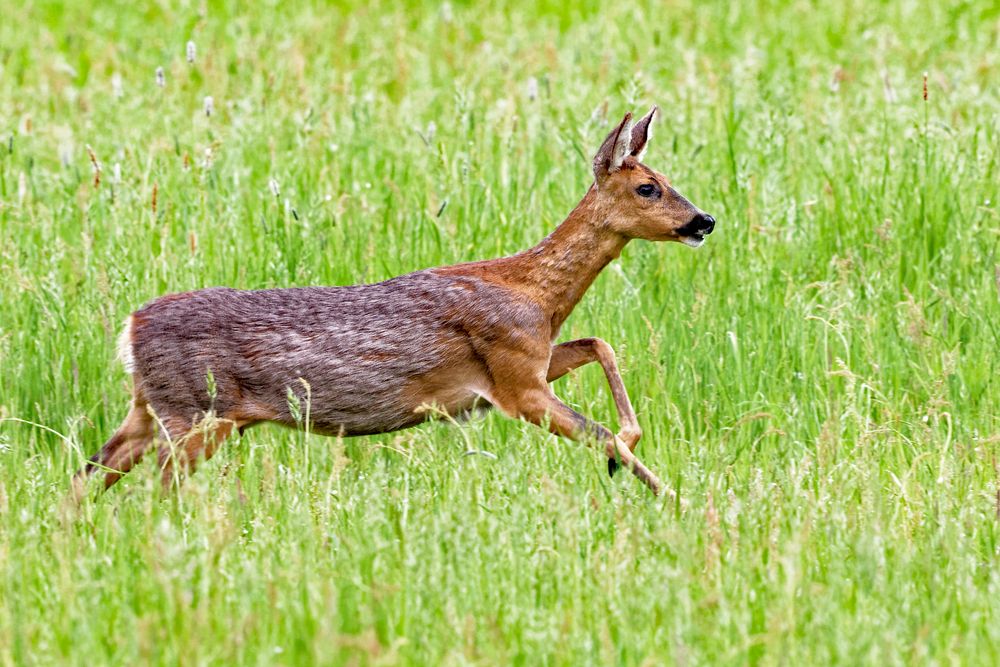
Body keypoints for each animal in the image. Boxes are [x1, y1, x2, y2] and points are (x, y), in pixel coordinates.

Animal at [73, 106, 715, 500]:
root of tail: (130, 327)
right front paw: (668, 497)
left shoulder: (528, 362)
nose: (704, 220)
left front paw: (642, 460)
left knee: (84, 478)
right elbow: (599, 431)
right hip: (196, 414)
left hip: (152, 410)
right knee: (157, 492)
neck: (534, 293)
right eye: (648, 187)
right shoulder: (515, 383)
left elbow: (599, 345)